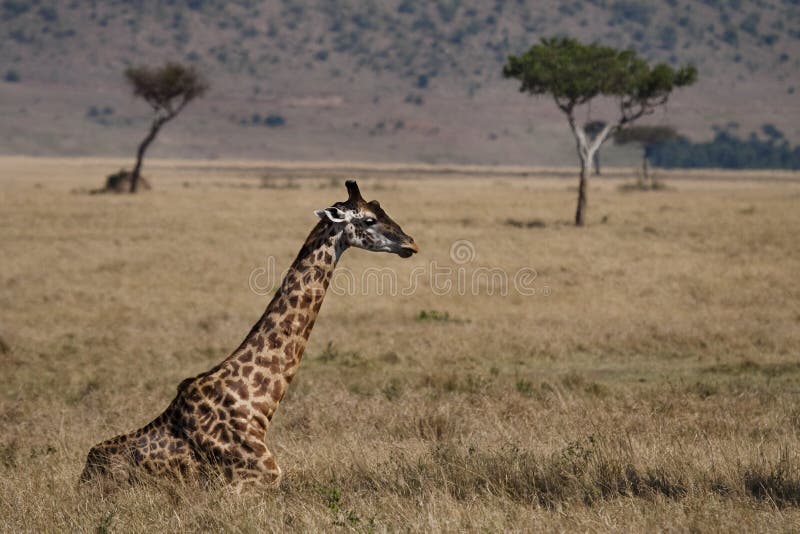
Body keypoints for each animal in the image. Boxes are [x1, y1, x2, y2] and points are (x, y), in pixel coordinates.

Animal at [79, 180, 418, 489]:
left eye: (381, 209)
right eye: (369, 220)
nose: (411, 244)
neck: (255, 402)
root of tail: (86, 471)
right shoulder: (254, 480)